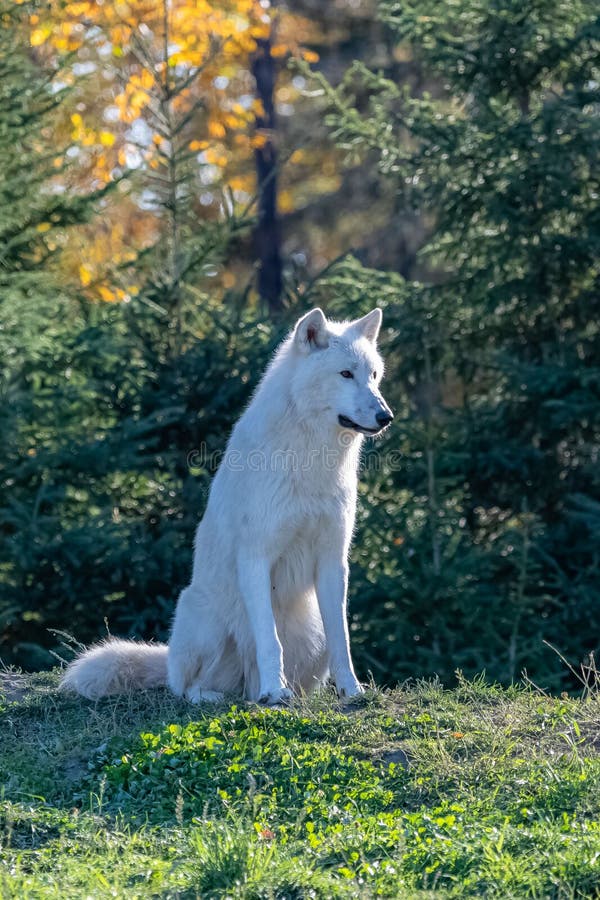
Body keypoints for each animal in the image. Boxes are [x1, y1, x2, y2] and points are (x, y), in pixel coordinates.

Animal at [61, 307, 393, 705]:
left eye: (373, 376)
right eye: (345, 374)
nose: (386, 416)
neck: (310, 460)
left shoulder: (333, 560)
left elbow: (342, 639)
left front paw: (352, 691)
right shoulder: (255, 556)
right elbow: (269, 641)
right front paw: (275, 691)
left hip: (313, 638)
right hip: (207, 623)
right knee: (184, 687)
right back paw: (224, 696)